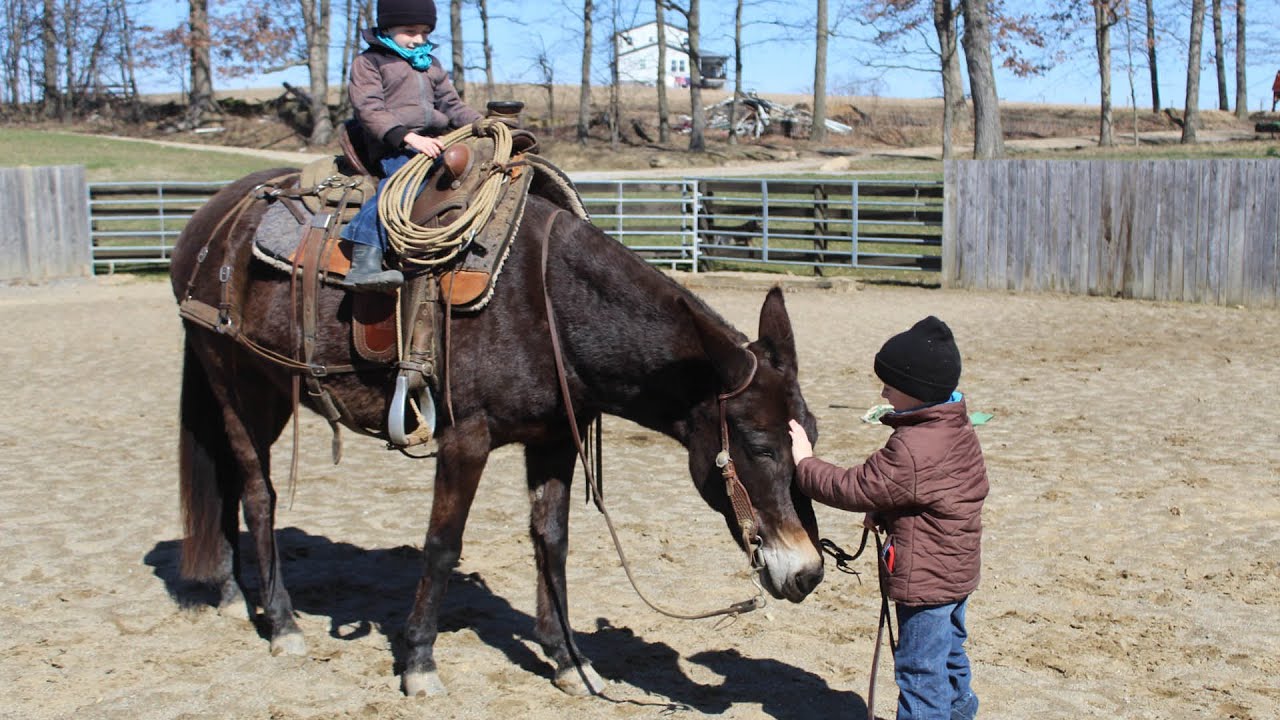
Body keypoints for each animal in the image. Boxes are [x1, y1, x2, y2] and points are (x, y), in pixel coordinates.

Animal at [170, 166, 826, 697]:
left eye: (810, 438)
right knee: (257, 494)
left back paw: (228, 592)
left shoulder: (555, 439)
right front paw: (419, 664)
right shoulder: (466, 440)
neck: (547, 303)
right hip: (232, 385)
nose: (808, 572)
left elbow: (552, 541)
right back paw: (281, 623)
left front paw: (568, 661)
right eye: (759, 444)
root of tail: (209, 221)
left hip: (266, 393)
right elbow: (442, 545)